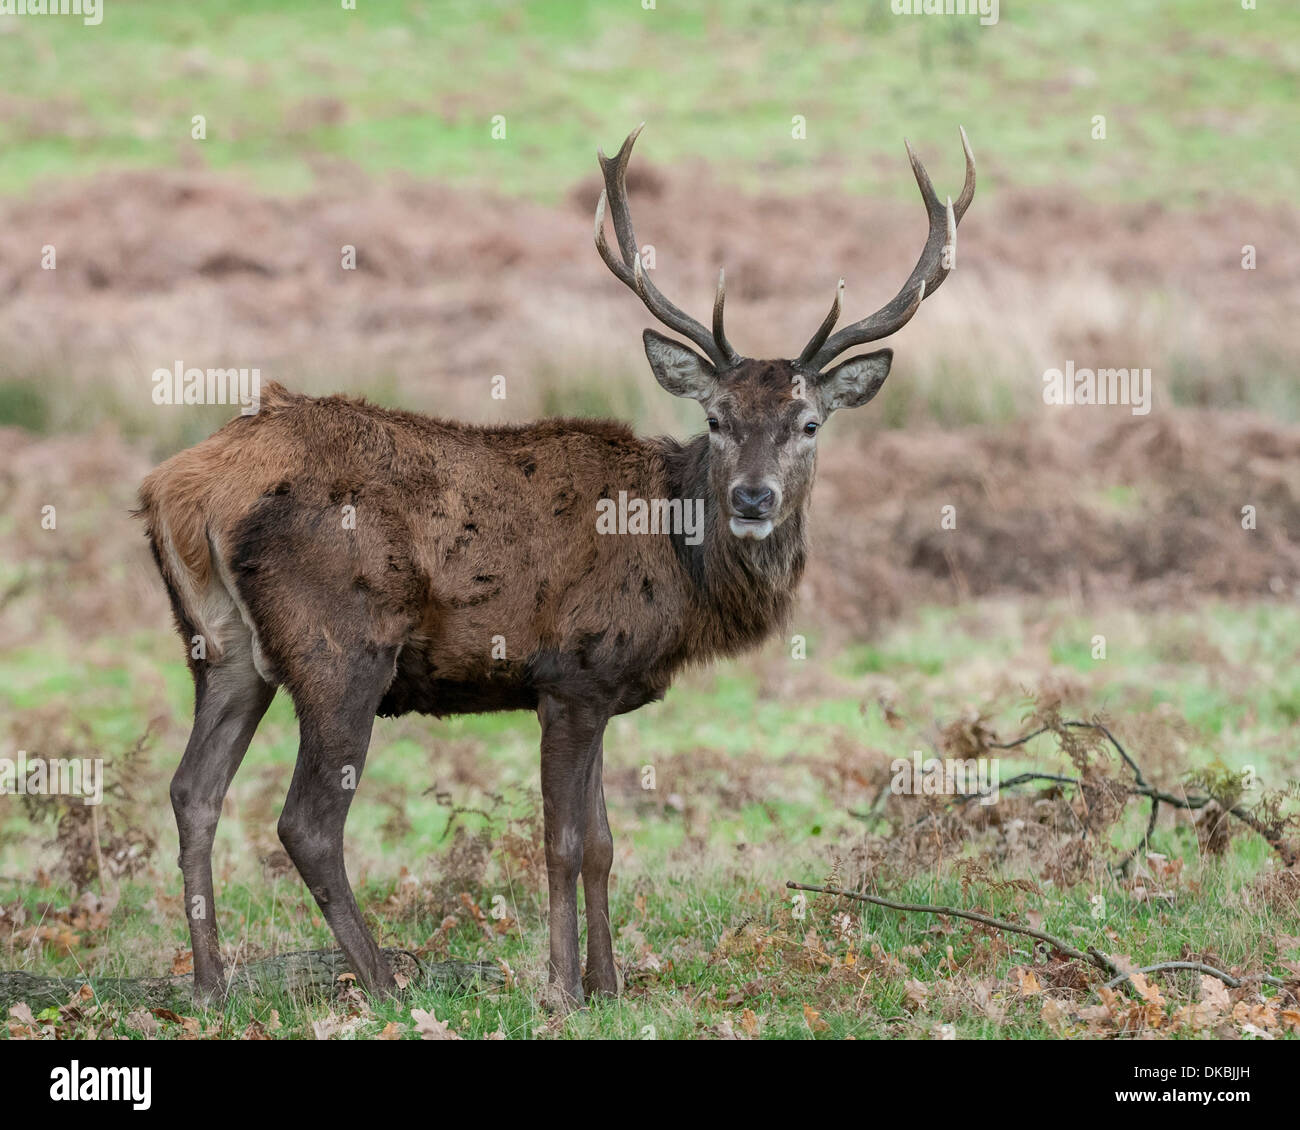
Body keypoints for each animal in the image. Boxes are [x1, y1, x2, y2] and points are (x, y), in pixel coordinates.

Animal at [137, 124, 974, 1008]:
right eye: (717, 418)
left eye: (809, 422)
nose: (753, 497)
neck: (680, 565)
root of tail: (179, 486)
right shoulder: (570, 673)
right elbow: (564, 842)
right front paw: (563, 990)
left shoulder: (601, 687)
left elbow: (604, 841)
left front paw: (609, 984)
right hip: (341, 645)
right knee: (305, 823)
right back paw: (387, 986)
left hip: (222, 649)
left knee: (193, 791)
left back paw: (211, 987)